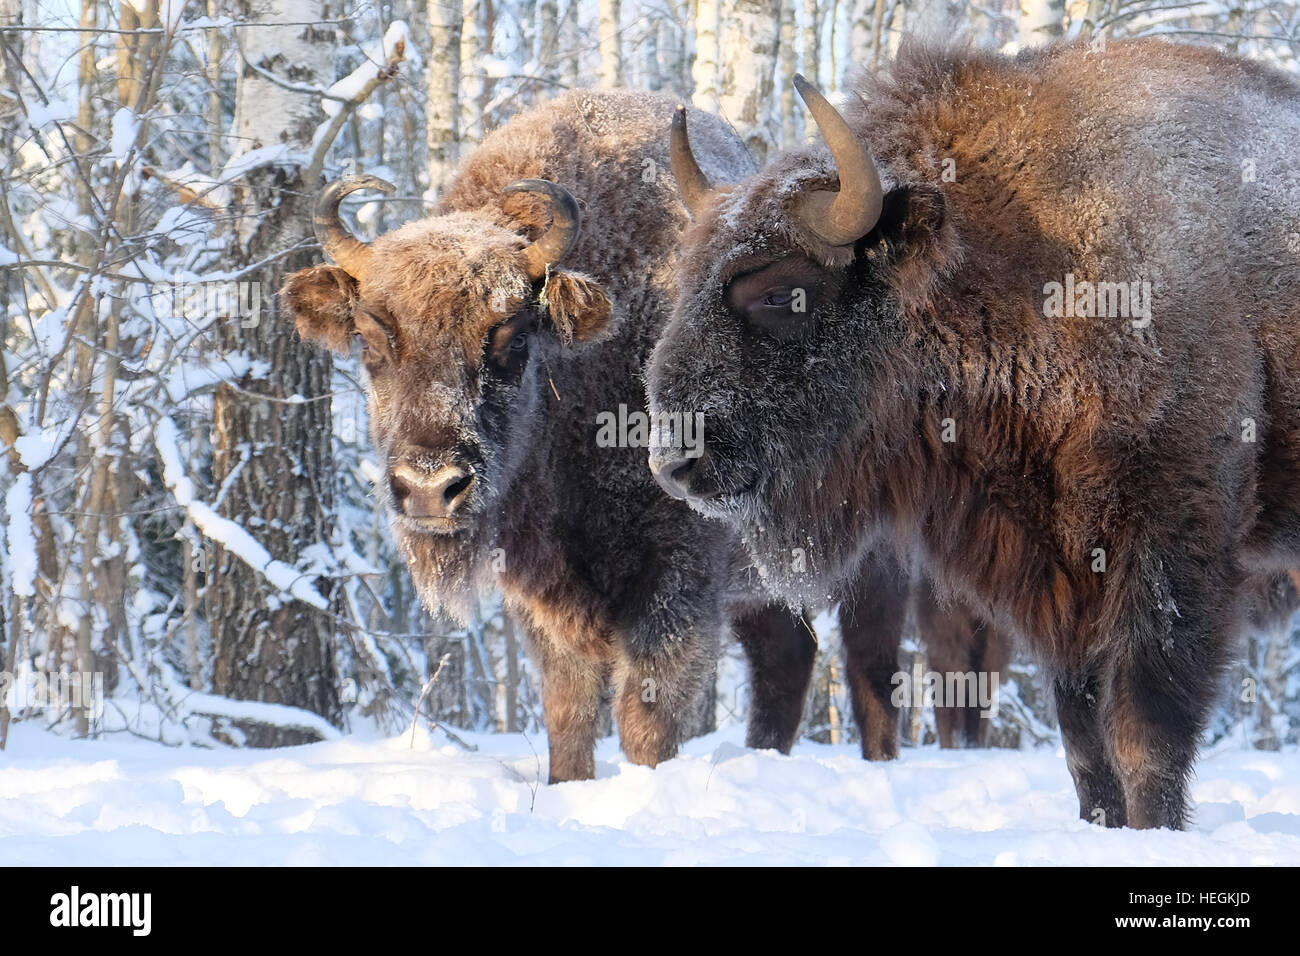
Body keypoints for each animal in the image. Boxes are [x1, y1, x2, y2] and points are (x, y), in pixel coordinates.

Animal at [647, 41, 1300, 827]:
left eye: (780, 291)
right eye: (684, 285)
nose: (673, 458)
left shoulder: (1171, 554)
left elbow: (1145, 732)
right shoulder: (1059, 580)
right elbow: (1084, 742)